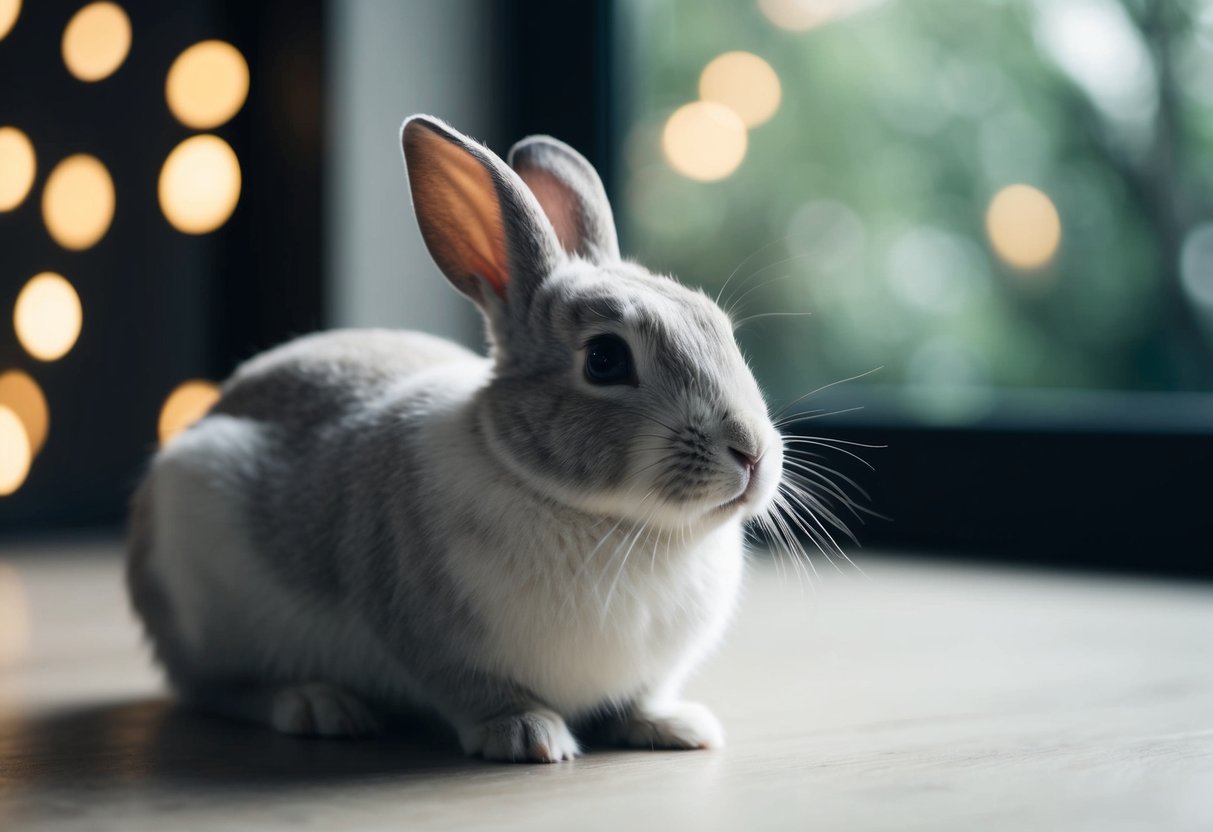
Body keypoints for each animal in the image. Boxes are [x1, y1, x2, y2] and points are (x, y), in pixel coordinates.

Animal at [126, 114, 785, 763]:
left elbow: (640, 698)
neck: (612, 520)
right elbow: (473, 688)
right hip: (200, 568)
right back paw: (316, 705)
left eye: (717, 326)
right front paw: (528, 736)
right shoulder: (424, 629)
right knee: (211, 689)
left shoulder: (647, 671)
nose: (751, 453)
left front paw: (677, 726)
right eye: (604, 360)